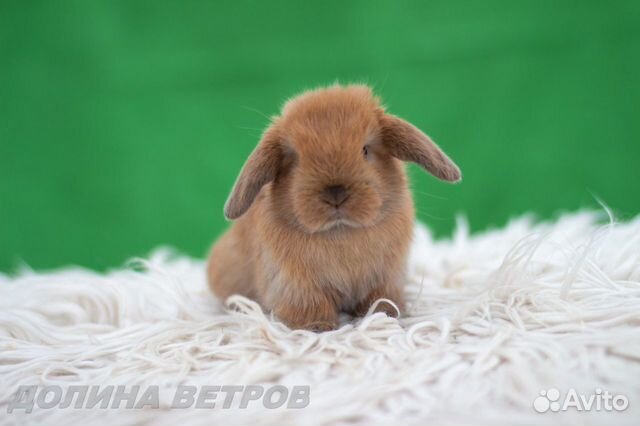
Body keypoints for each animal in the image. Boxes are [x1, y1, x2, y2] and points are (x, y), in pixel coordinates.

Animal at [207, 84, 461, 331]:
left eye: (365, 150)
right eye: (295, 159)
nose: (336, 194)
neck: (340, 231)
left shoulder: (386, 278)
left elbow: (379, 299)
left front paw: (384, 314)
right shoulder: (296, 285)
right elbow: (311, 304)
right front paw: (316, 326)